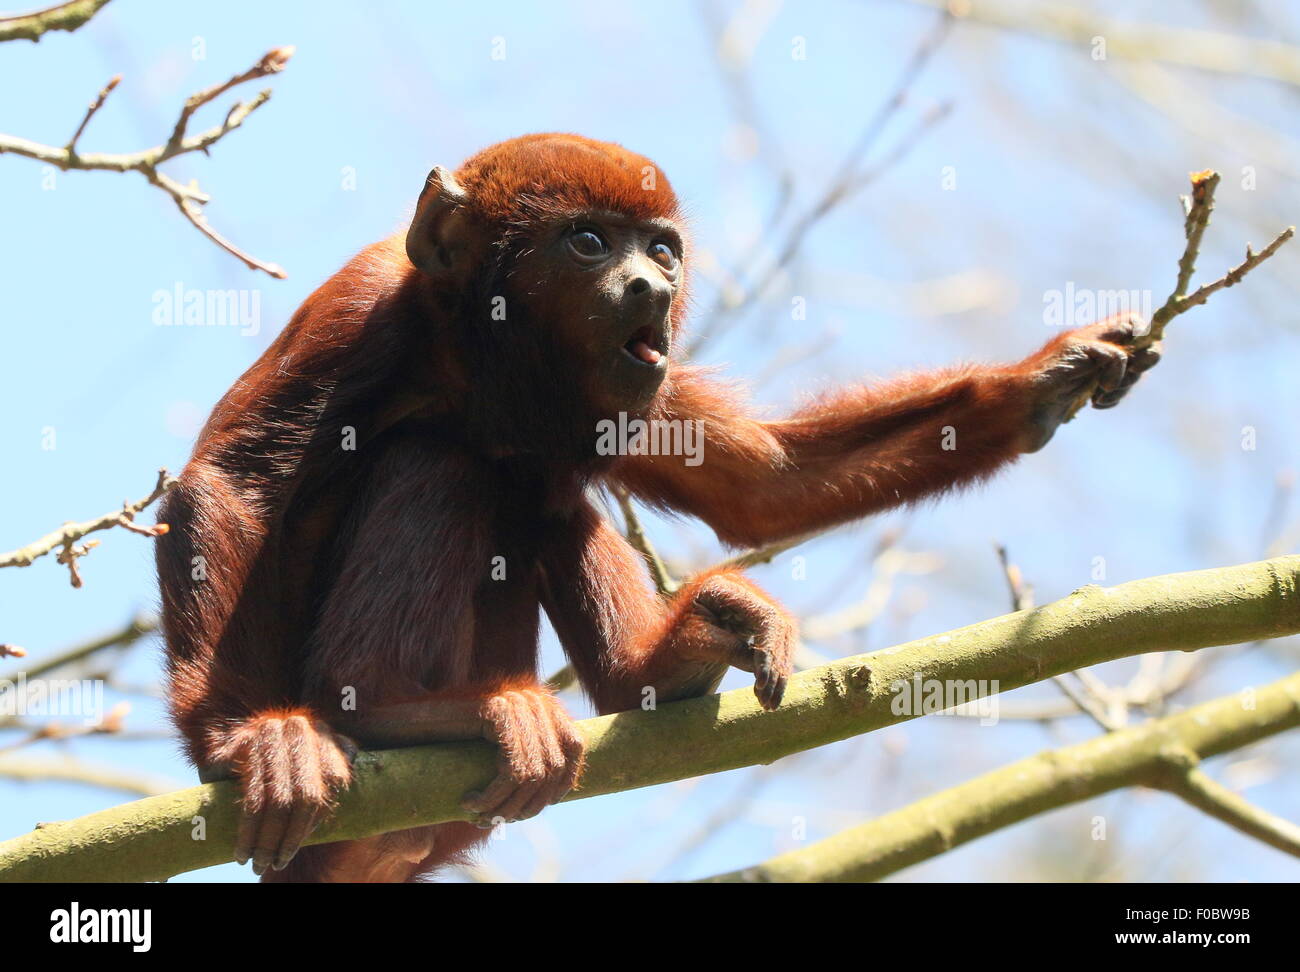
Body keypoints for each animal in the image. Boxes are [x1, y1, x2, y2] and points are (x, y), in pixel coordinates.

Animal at [156, 133, 1160, 882]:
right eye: (589, 242)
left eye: (662, 246)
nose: (654, 287)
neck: (489, 356)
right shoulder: (362, 305)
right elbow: (230, 484)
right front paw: (242, 740)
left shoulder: (643, 375)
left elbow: (764, 482)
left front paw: (1042, 384)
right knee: (438, 461)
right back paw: (391, 708)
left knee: (545, 497)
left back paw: (660, 666)